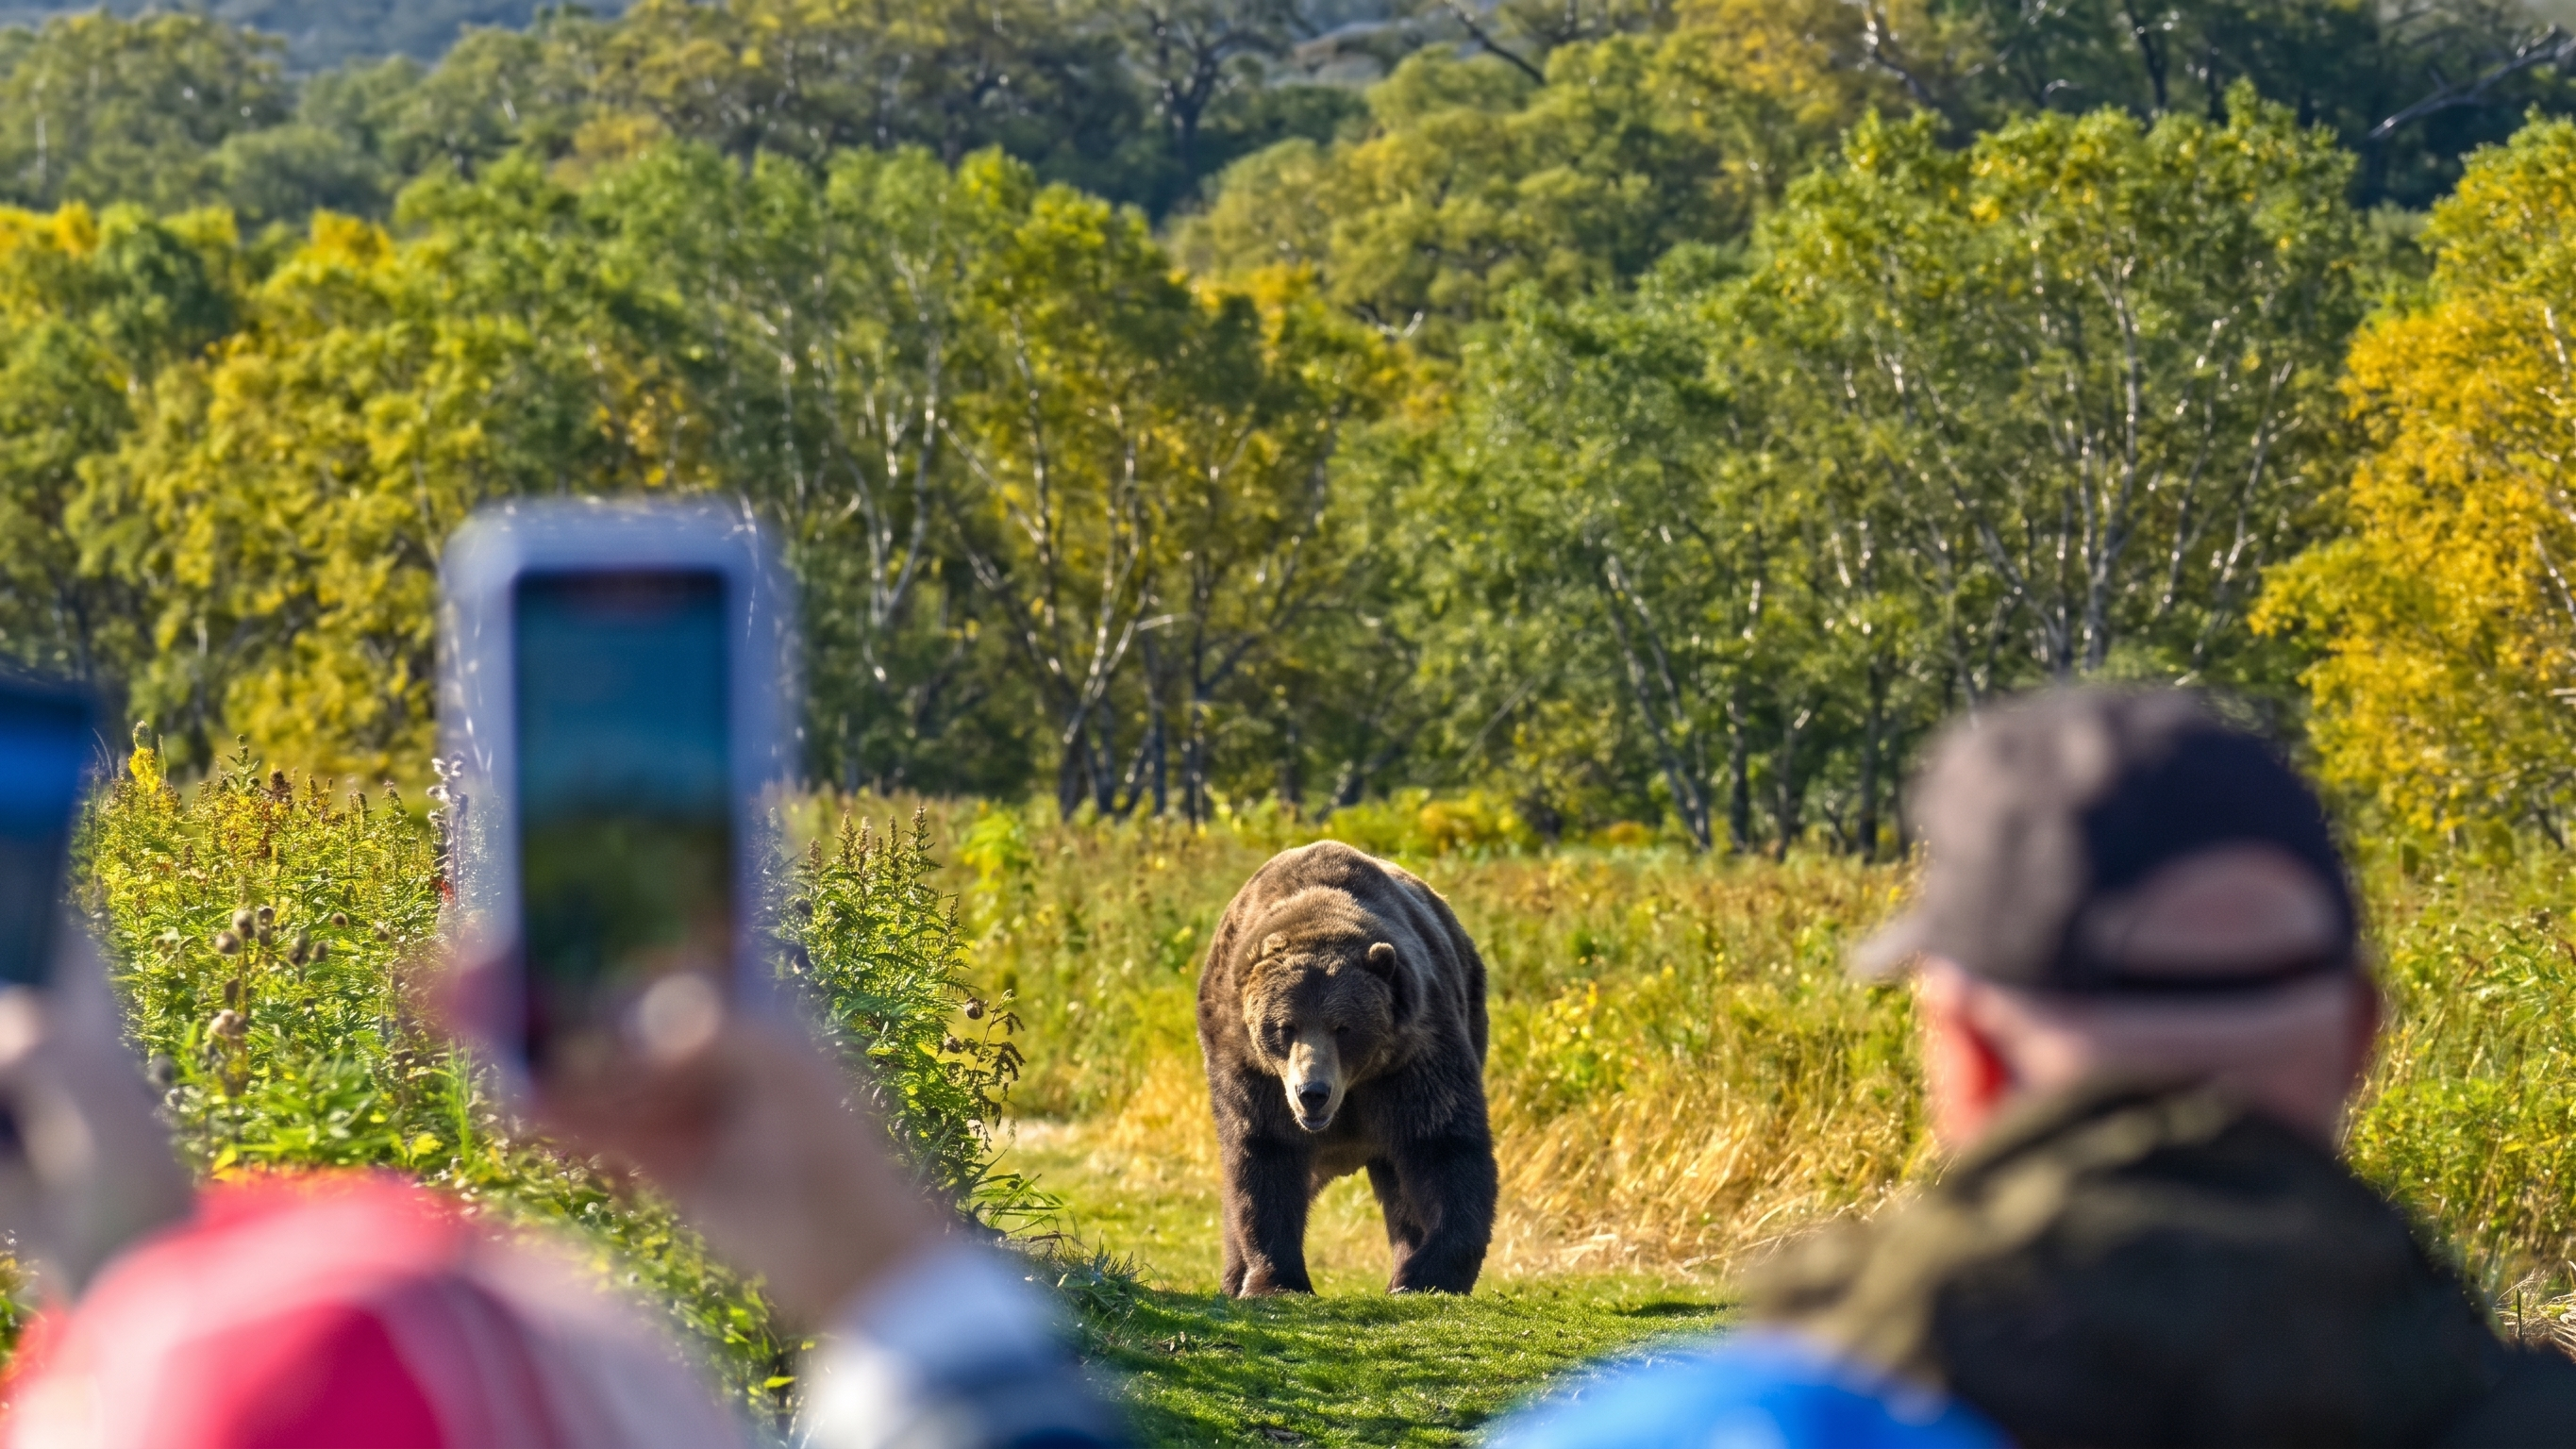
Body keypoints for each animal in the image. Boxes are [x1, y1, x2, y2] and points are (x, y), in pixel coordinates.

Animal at [1196, 839, 1496, 1296]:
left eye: (1344, 1027)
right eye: (1285, 1026)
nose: (1312, 1092)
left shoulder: (1414, 1056)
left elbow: (1442, 1143)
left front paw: (1426, 1275)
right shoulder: (1250, 1067)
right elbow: (1264, 1153)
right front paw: (1275, 1281)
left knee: (1400, 1188)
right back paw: (1234, 1278)